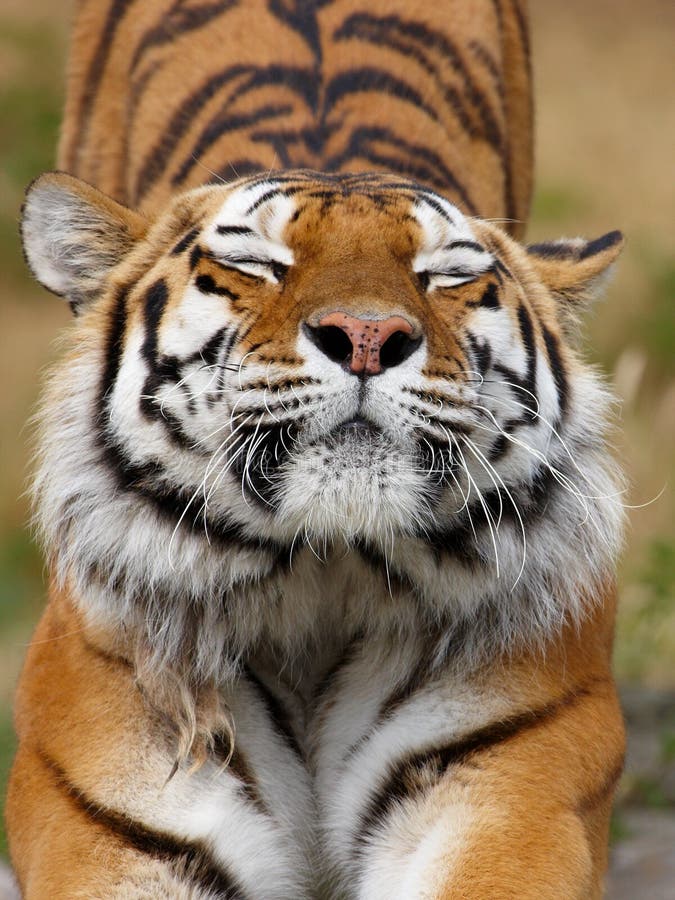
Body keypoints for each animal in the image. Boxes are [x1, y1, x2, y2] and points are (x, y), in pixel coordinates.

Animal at [6, 1, 626, 898]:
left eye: (445, 276)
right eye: (255, 263)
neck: (322, 581)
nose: (367, 335)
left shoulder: (509, 788)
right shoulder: (120, 808)